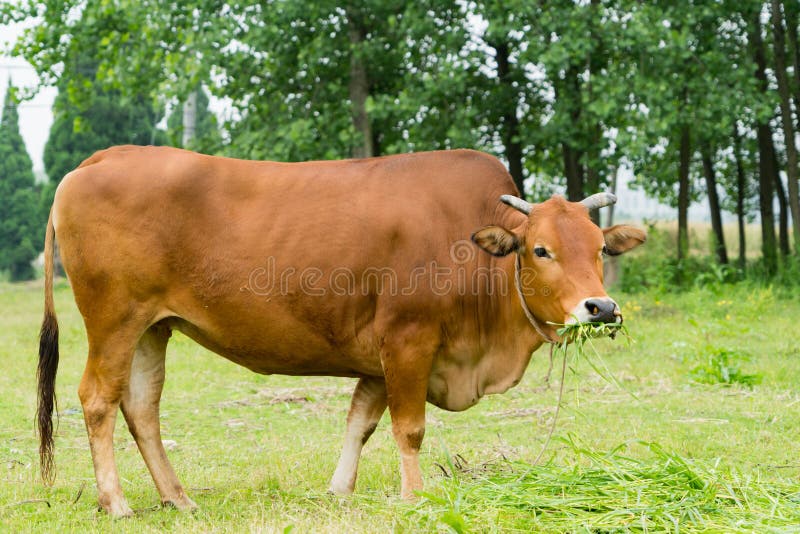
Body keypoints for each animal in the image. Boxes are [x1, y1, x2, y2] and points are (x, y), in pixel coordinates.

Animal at [36, 146, 645, 517]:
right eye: (541, 249)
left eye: (599, 248)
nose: (600, 307)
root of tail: (102, 158)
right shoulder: (408, 340)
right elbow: (408, 429)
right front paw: (414, 496)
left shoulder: (377, 358)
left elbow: (360, 423)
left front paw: (340, 490)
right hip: (114, 321)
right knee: (97, 399)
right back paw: (116, 502)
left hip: (151, 329)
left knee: (141, 406)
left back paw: (179, 499)